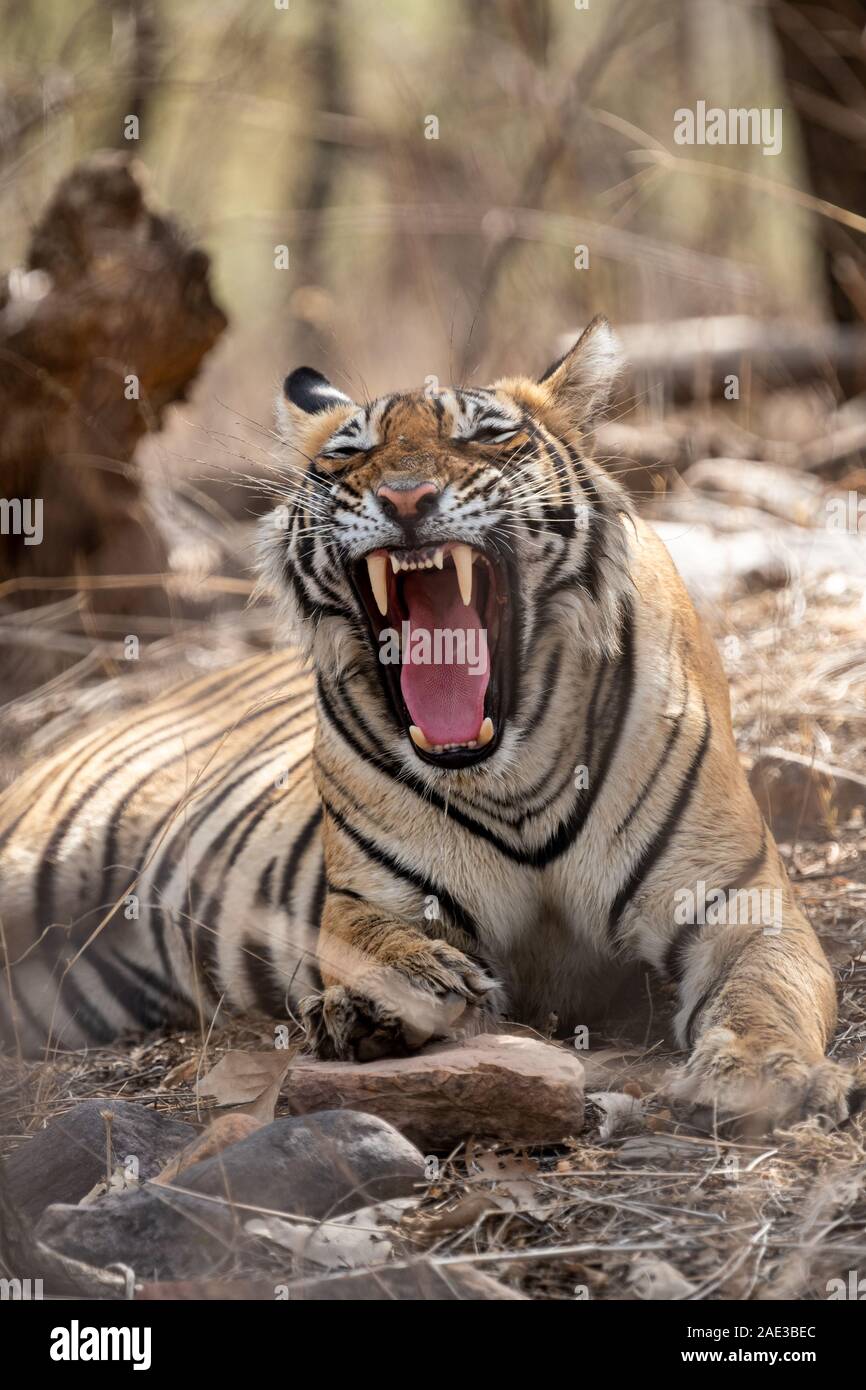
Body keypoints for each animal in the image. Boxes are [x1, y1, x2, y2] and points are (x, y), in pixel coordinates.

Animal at [0, 316, 856, 1129]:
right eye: (351, 453)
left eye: (484, 435)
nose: (406, 498)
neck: (514, 775)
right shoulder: (367, 901)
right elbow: (370, 941)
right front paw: (386, 996)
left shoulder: (741, 902)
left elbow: (762, 992)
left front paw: (753, 1074)